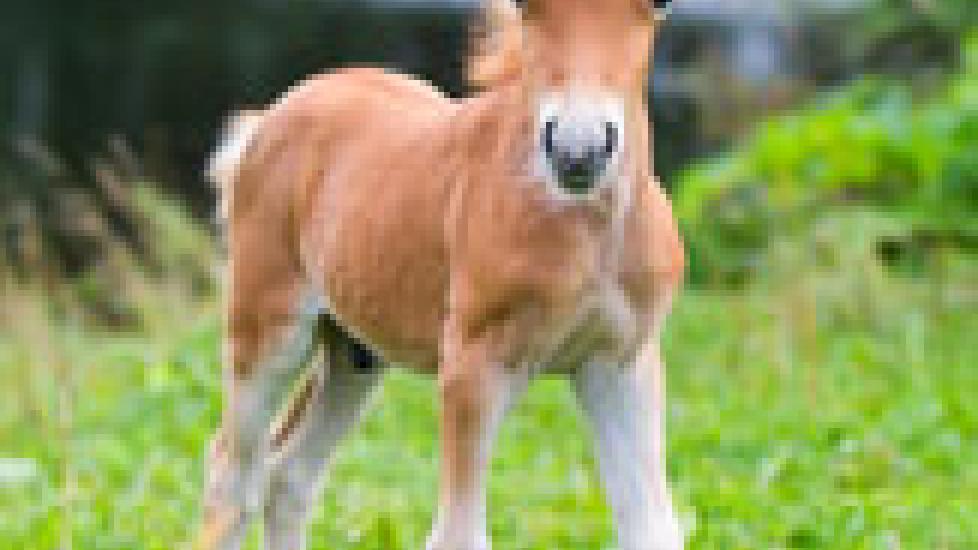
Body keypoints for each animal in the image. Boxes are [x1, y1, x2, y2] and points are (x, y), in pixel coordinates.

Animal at [198, 0, 685, 548]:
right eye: (526, 8)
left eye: (658, 6)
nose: (576, 151)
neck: (586, 228)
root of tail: (266, 120)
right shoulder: (474, 365)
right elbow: (459, 533)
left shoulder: (620, 363)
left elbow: (649, 526)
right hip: (267, 330)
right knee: (232, 477)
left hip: (353, 353)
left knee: (289, 475)